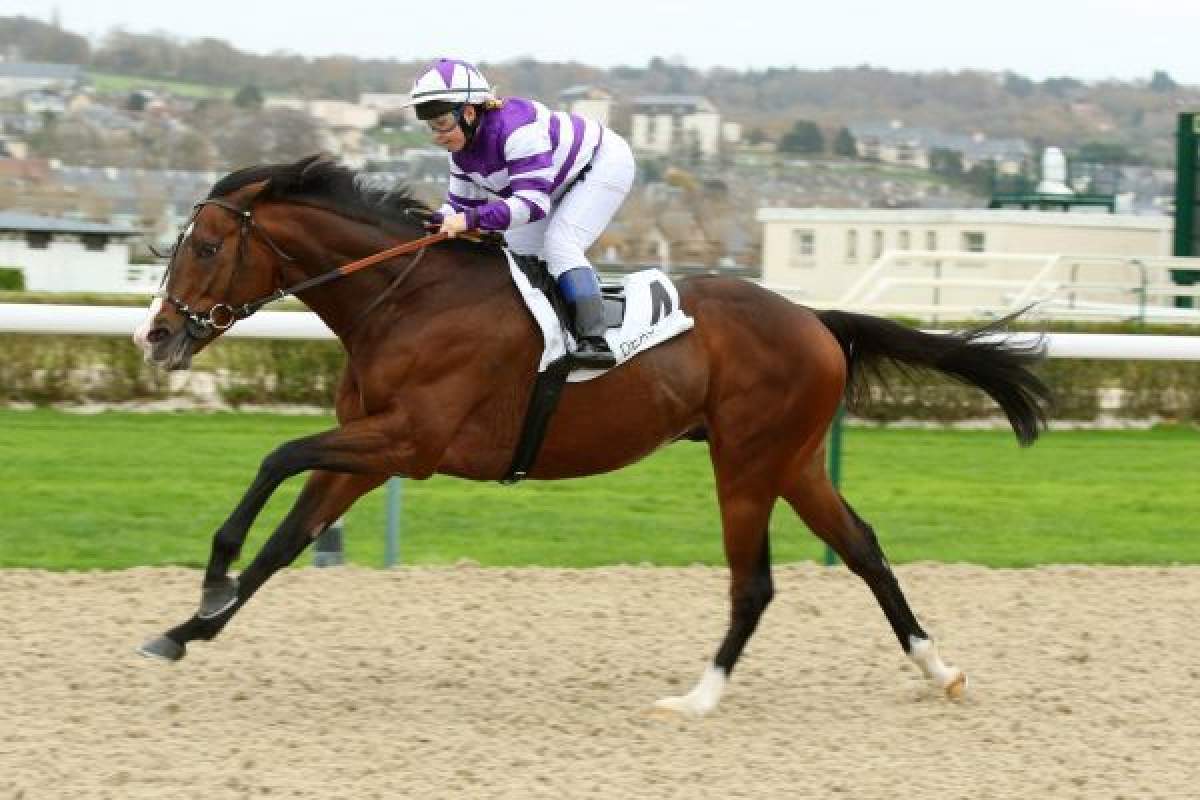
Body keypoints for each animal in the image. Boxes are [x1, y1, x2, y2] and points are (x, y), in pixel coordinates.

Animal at [133, 155, 1050, 716]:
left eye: (205, 246)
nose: (156, 336)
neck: (407, 299)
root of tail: (817, 319)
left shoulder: (408, 445)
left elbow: (275, 457)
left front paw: (209, 577)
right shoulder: (368, 447)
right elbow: (286, 540)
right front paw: (186, 630)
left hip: (748, 462)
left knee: (754, 583)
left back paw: (697, 698)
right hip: (792, 461)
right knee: (862, 548)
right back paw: (938, 668)